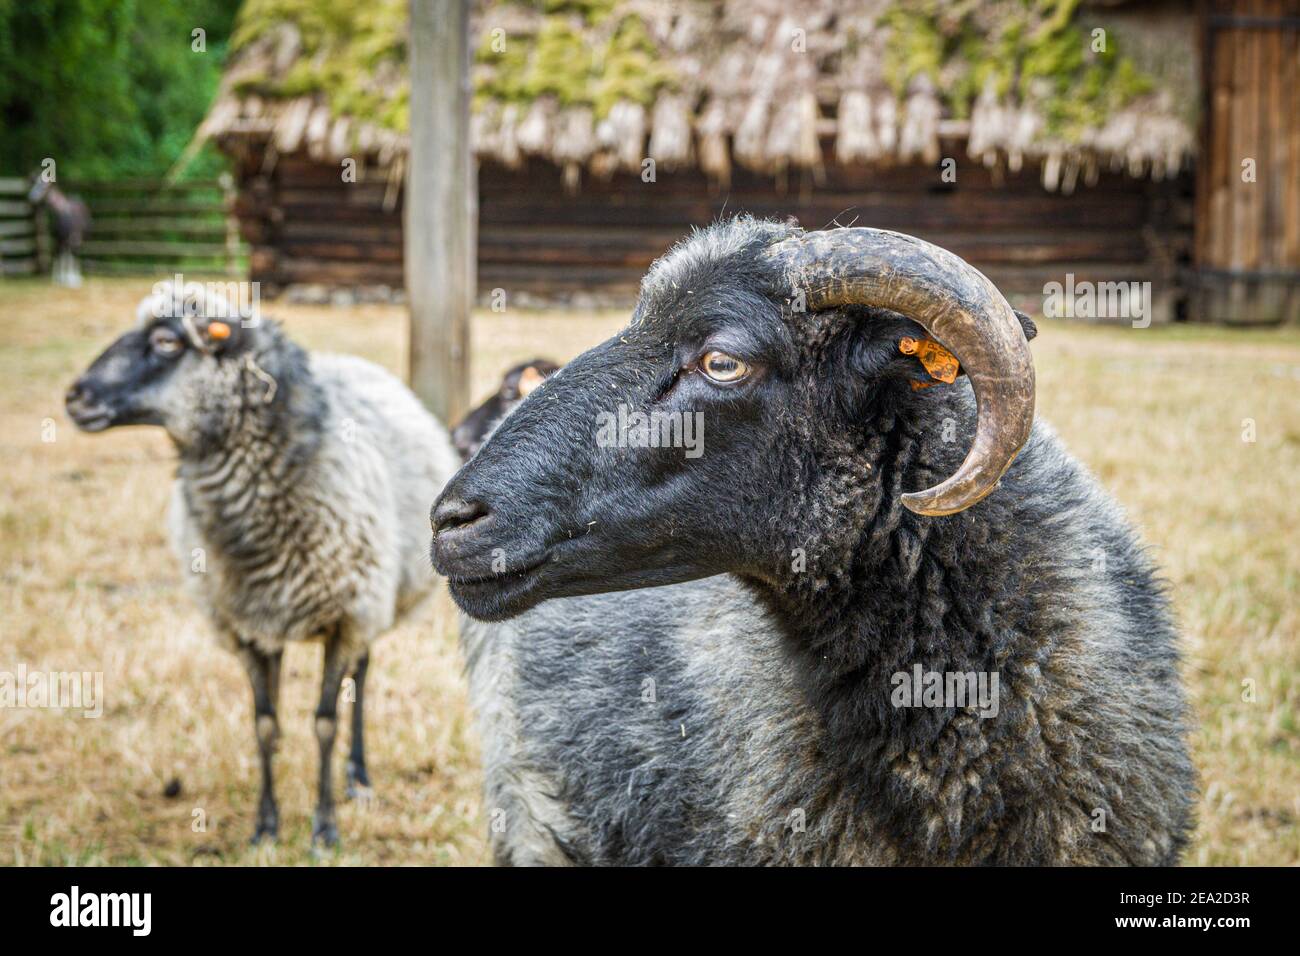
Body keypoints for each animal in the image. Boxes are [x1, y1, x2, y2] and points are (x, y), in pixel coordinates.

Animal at [66, 281, 459, 847]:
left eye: (166, 341)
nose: (74, 397)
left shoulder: (345, 615)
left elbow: (324, 721)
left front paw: (324, 828)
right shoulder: (247, 628)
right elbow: (266, 725)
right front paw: (266, 825)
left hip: (372, 599)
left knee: (360, 678)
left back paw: (358, 776)